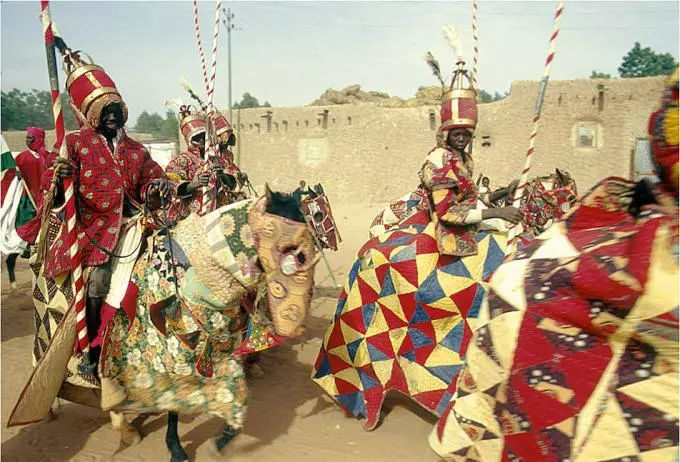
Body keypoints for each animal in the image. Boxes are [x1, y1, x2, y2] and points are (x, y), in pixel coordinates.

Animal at [7, 186, 322, 460]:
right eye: (289, 248)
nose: (295, 326)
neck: (197, 274)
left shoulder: (220, 357)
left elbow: (234, 400)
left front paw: (221, 442)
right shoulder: (169, 359)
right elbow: (174, 404)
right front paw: (176, 448)